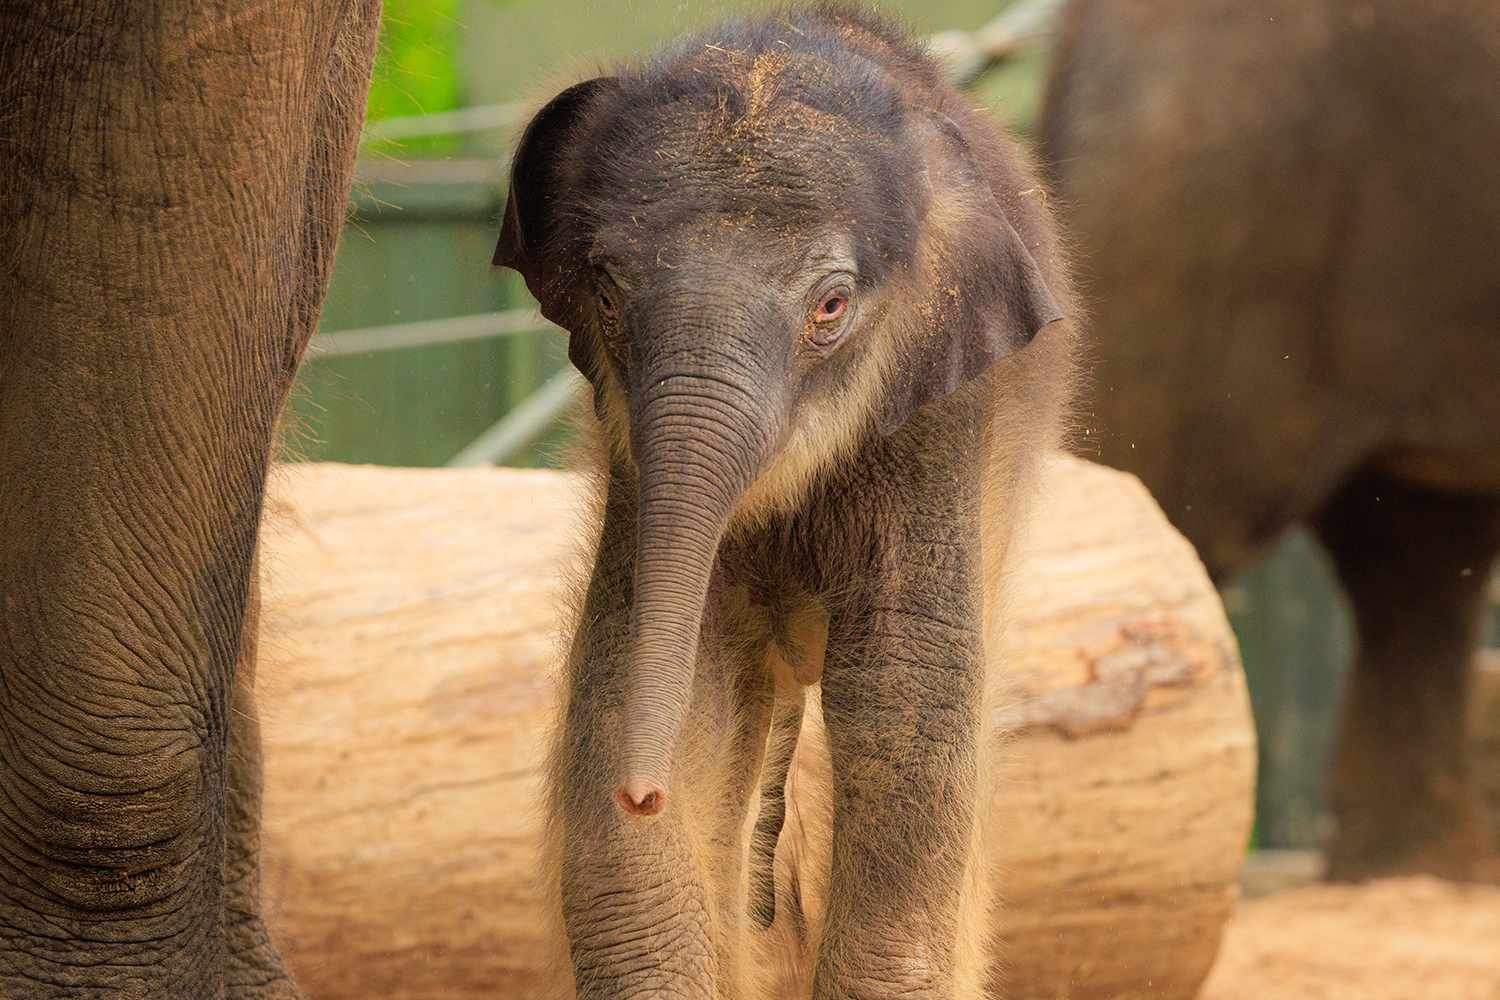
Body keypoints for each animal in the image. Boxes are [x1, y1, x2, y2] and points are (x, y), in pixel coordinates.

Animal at [493, 6, 1075, 998]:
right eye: (605, 291)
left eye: (831, 306)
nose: (640, 792)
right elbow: (656, 663)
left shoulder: (946, 406)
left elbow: (904, 686)